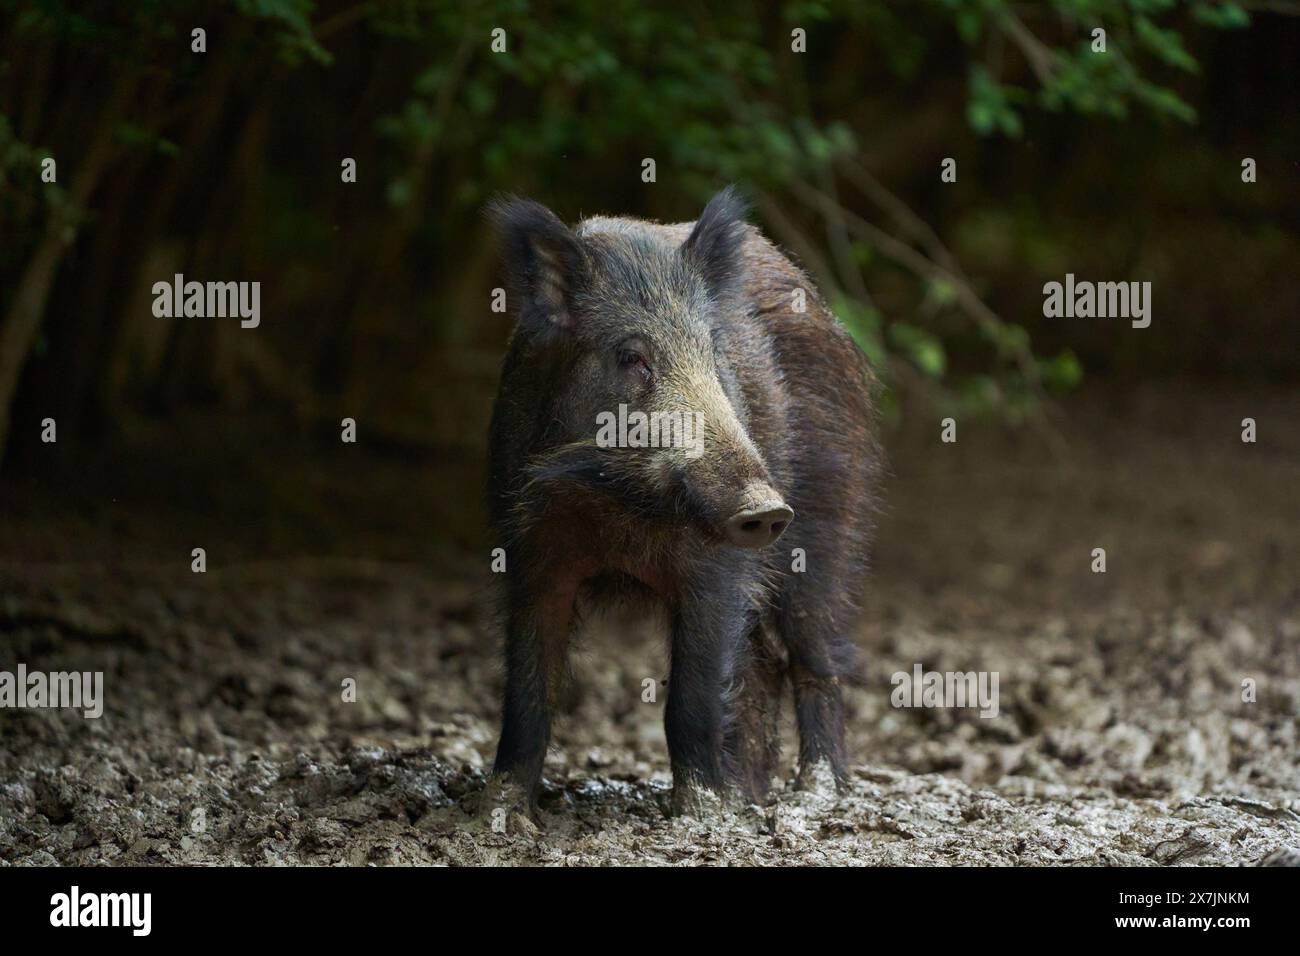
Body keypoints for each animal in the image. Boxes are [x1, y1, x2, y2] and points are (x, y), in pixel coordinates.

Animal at [481, 187, 881, 822]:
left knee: (815, 651)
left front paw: (700, 818)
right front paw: (499, 817)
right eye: (631, 357)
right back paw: (752, 797)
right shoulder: (528, 550)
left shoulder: (717, 569)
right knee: (761, 662)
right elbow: (527, 691)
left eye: (713, 351)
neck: (617, 507)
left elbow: (691, 699)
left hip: (830, 514)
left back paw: (812, 797)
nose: (766, 506)